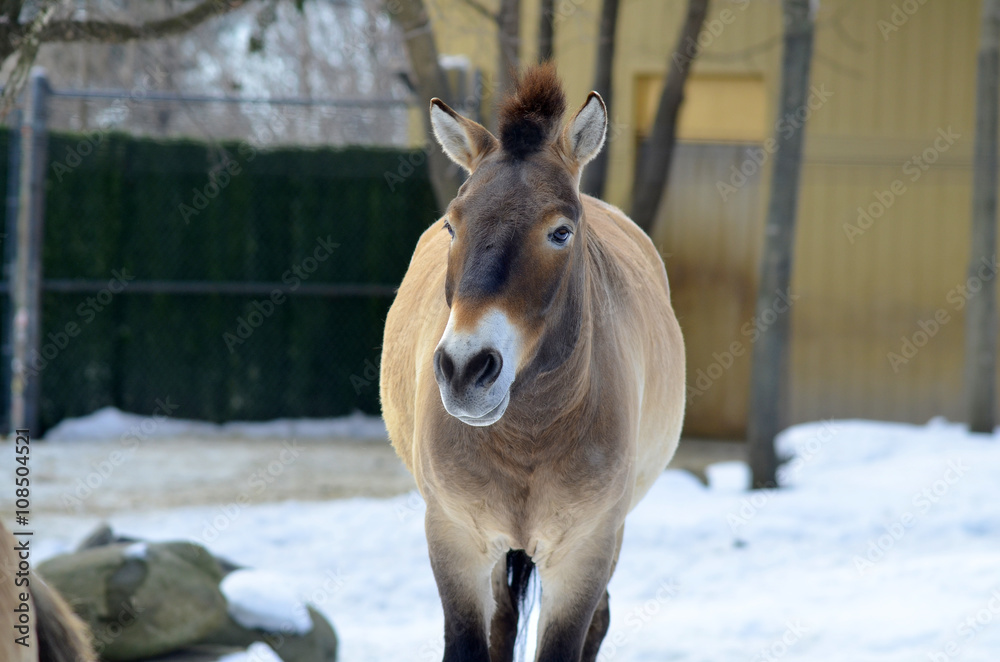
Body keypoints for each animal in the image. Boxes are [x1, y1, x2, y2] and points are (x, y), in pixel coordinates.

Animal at [380, 64, 685, 662]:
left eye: (560, 231)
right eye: (452, 226)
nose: (464, 368)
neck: (529, 437)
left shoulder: (585, 551)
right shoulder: (456, 540)